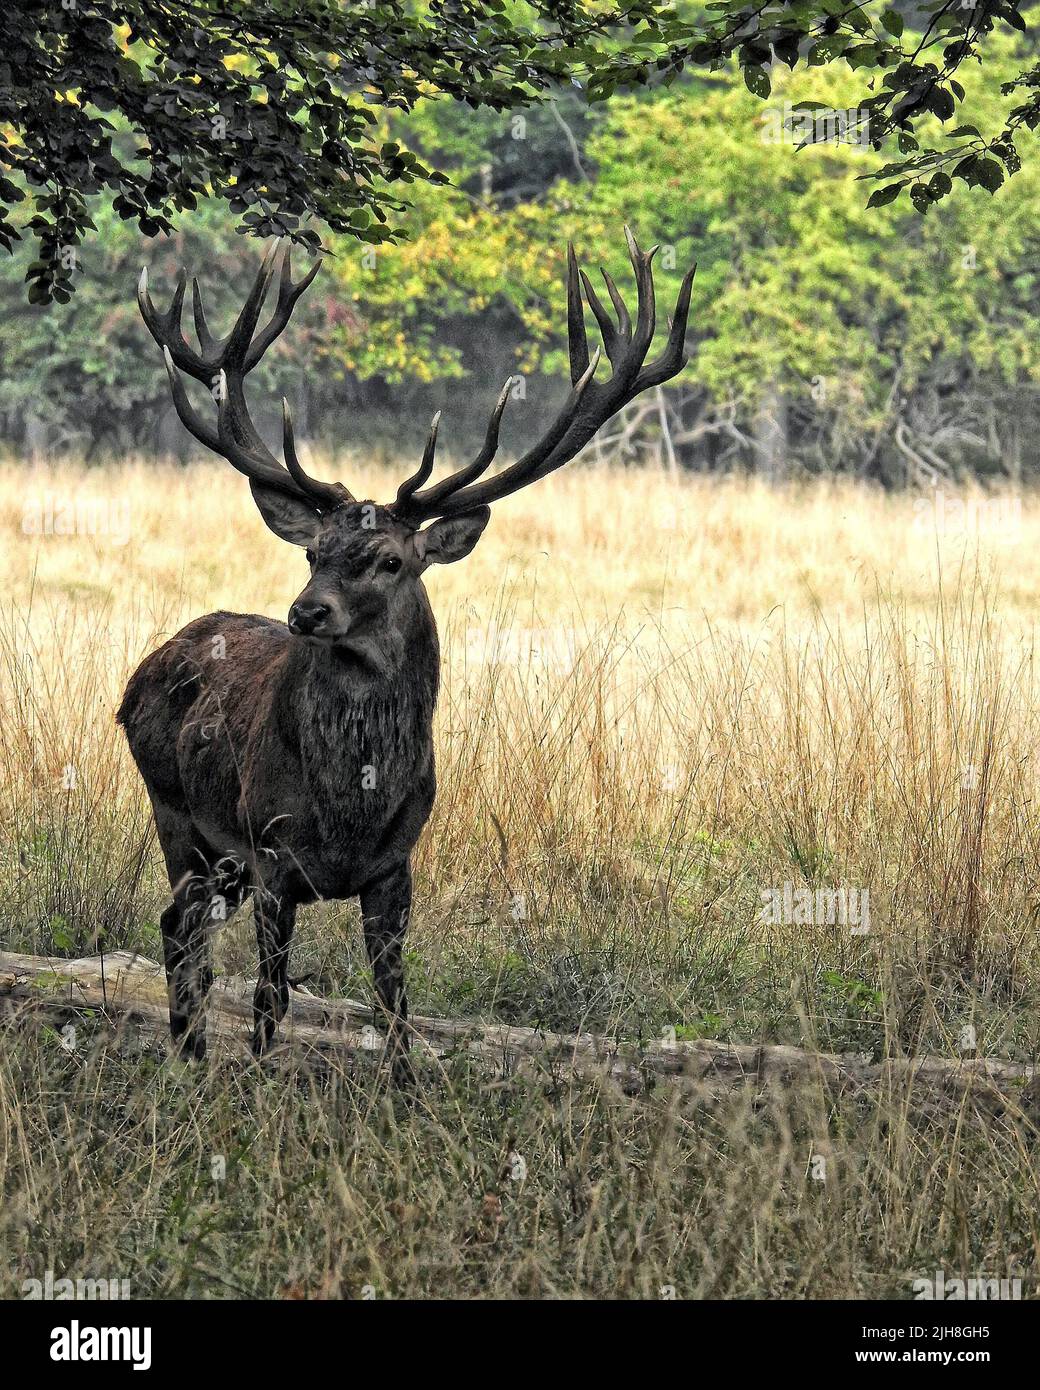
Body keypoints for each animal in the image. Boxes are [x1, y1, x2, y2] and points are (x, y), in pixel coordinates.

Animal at [118, 230, 695, 1083]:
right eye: (314, 551)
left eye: (390, 561)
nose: (305, 612)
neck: (349, 810)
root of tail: (137, 676)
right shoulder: (273, 854)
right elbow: (270, 1000)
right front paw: (259, 1081)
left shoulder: (398, 865)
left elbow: (396, 1006)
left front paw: (404, 1091)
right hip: (177, 813)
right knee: (179, 927)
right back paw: (189, 1055)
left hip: (218, 854)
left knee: (177, 928)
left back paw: (188, 1051)